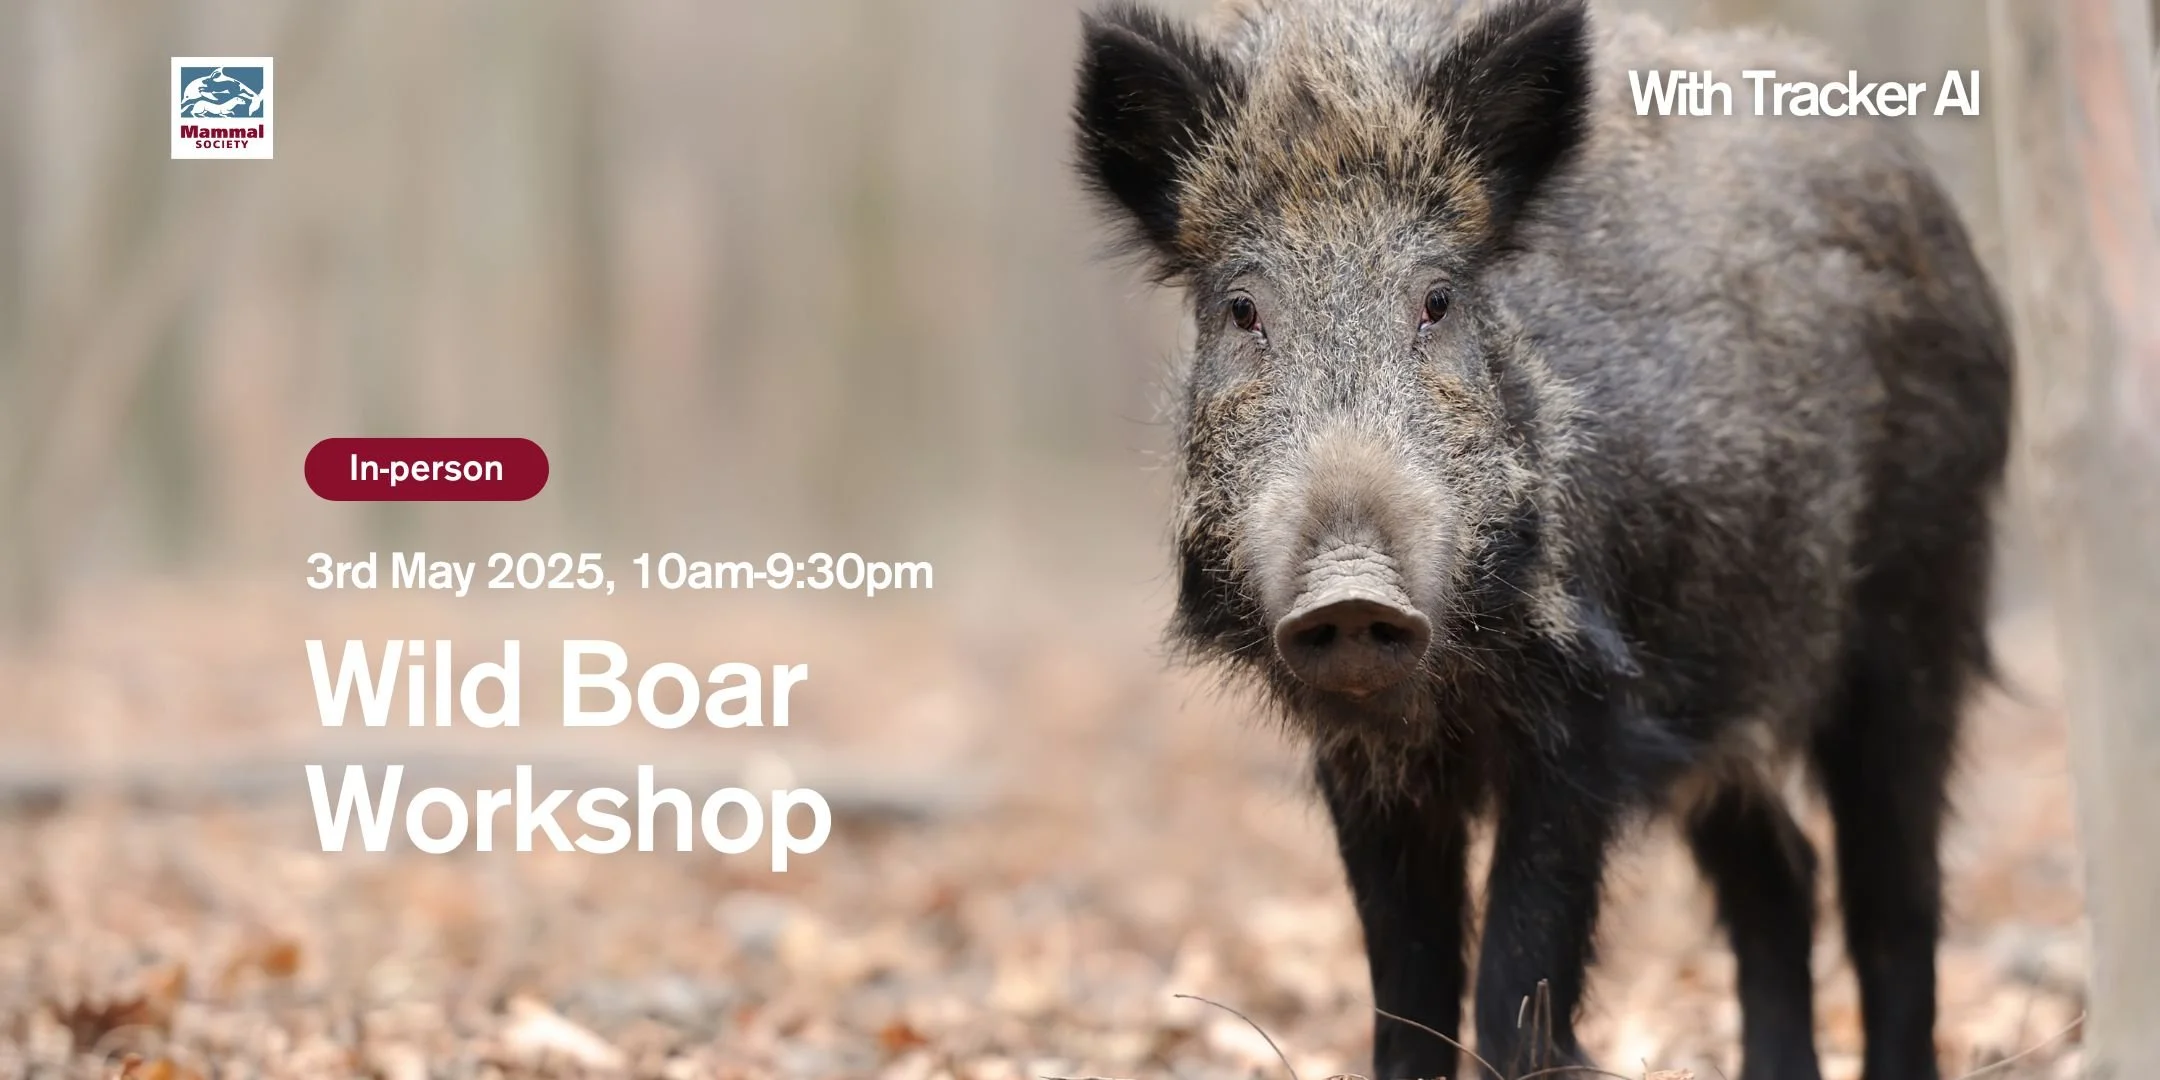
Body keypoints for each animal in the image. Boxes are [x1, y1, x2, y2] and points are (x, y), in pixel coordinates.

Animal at [1069, 1, 2012, 1078]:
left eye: (1437, 299)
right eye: (1242, 309)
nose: (1352, 589)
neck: (1448, 685)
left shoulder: (1591, 710)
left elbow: (1517, 982)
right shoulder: (1358, 754)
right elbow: (1407, 992)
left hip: (1921, 602)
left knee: (1894, 894)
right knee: (1779, 874)